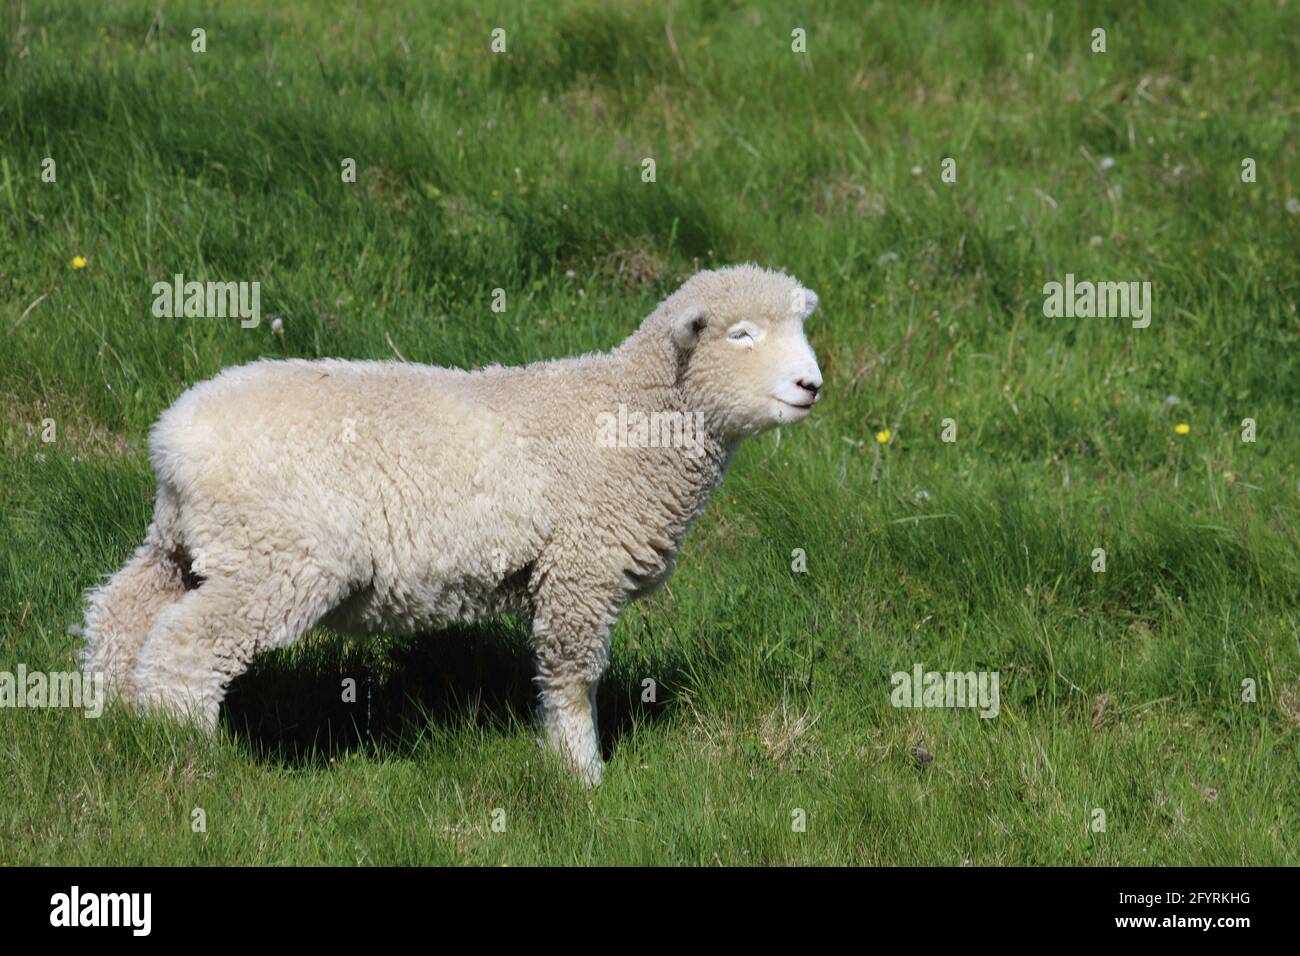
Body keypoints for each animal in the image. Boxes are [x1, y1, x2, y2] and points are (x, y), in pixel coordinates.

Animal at [80, 264, 824, 785]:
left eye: (801, 329)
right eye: (741, 334)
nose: (811, 386)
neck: (630, 416)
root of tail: (172, 439)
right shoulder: (579, 570)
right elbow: (572, 678)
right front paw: (580, 772)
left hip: (185, 542)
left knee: (122, 613)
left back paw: (116, 720)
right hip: (276, 556)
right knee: (185, 646)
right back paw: (196, 756)